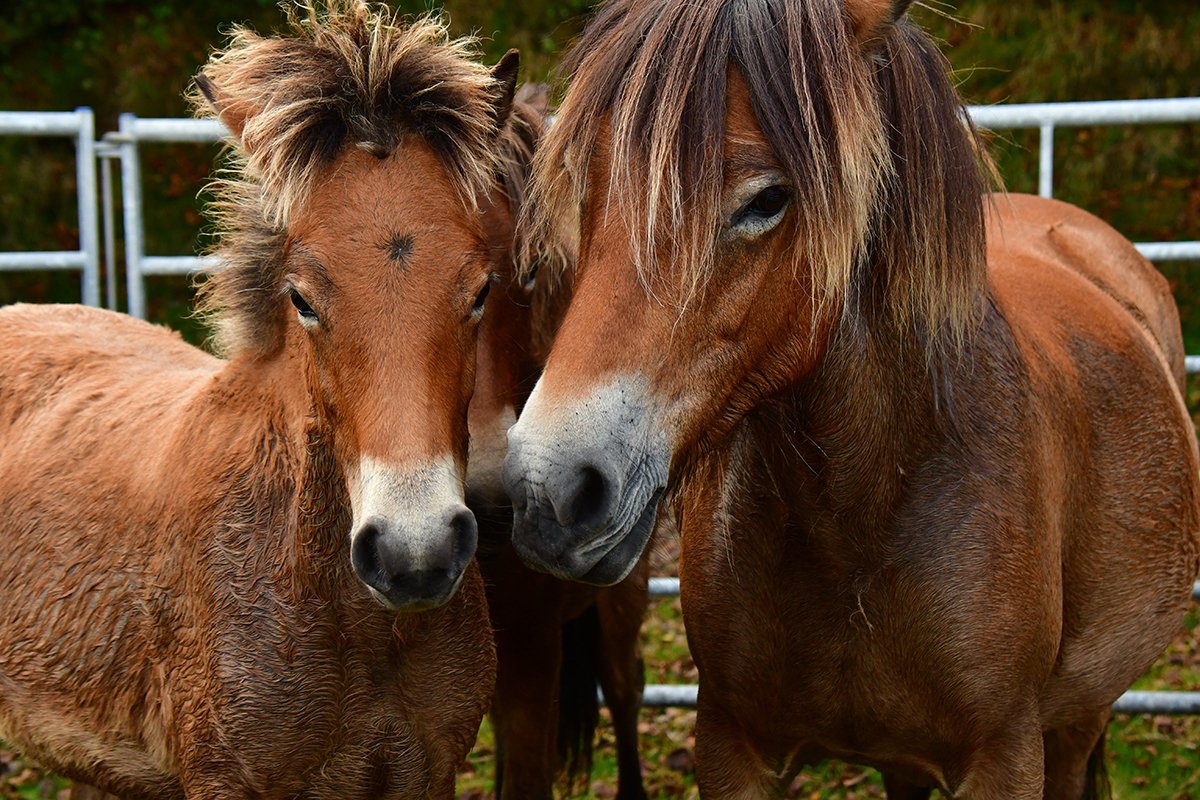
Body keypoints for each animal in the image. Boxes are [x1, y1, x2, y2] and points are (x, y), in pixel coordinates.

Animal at [503, 0, 1200, 797]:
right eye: (582, 182)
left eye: (769, 199)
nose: (550, 489)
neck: (865, 516)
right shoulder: (730, 745)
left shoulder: (1006, 757)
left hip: (1077, 723)